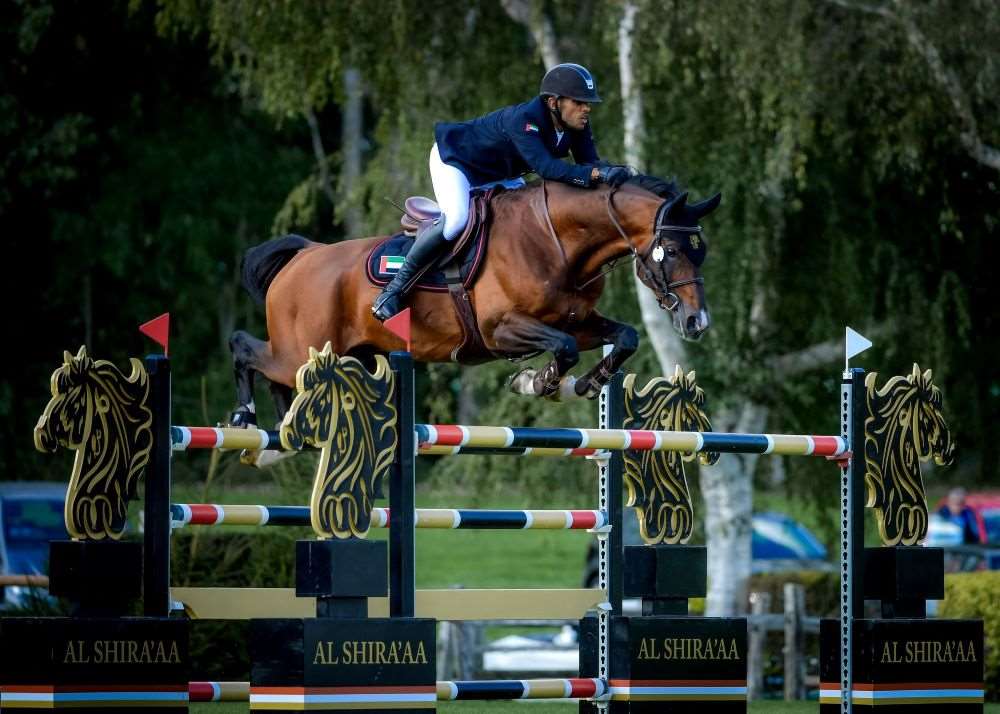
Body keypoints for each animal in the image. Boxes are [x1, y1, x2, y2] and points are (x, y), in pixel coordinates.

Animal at [229, 175, 721, 425]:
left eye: (703, 252)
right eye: (672, 249)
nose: (697, 322)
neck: (558, 241)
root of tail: (305, 255)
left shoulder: (577, 320)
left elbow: (625, 336)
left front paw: (583, 384)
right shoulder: (501, 330)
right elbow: (561, 348)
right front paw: (538, 382)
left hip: (349, 355)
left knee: (282, 379)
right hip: (300, 350)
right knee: (245, 349)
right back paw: (246, 418)